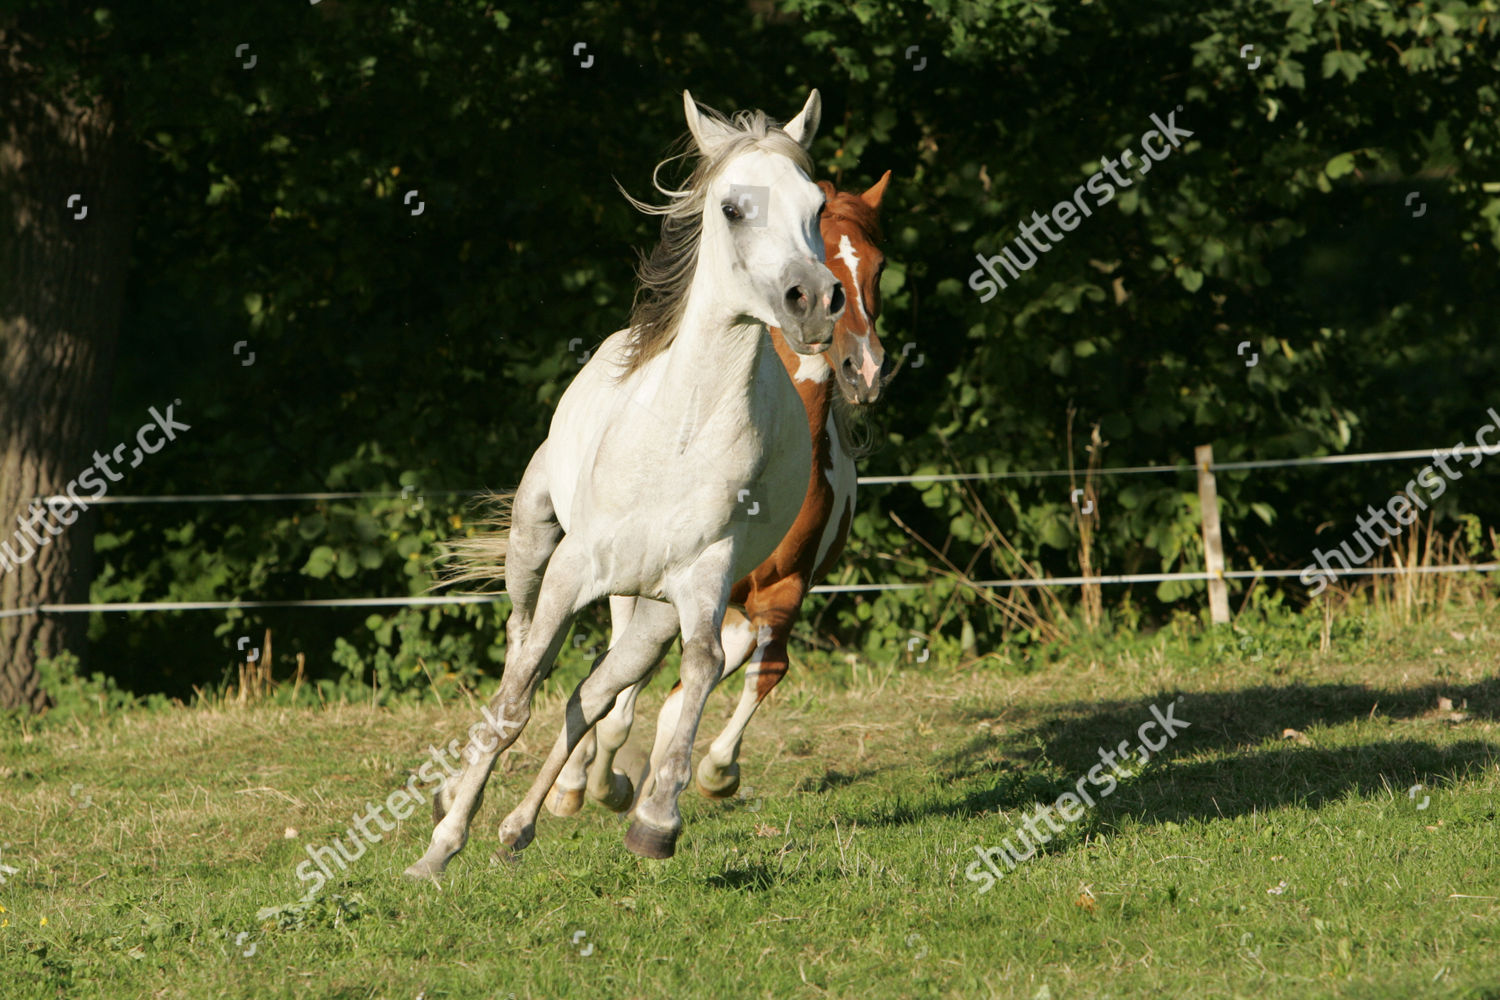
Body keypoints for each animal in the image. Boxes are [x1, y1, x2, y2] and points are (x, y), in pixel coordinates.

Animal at [405, 88, 845, 877]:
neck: (680, 436)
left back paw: (520, 825)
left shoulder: (705, 579)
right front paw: (438, 849)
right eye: (733, 207)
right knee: (524, 650)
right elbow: (514, 703)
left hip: (646, 615)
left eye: (818, 204)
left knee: (591, 695)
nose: (814, 300)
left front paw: (656, 821)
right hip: (535, 544)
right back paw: (461, 802)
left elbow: (699, 668)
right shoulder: (574, 569)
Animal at [543, 173, 894, 818]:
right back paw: (579, 782)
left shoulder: (780, 594)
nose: (864, 369)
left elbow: (765, 671)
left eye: (878, 266)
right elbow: (624, 689)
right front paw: (597, 783)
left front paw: (713, 773)